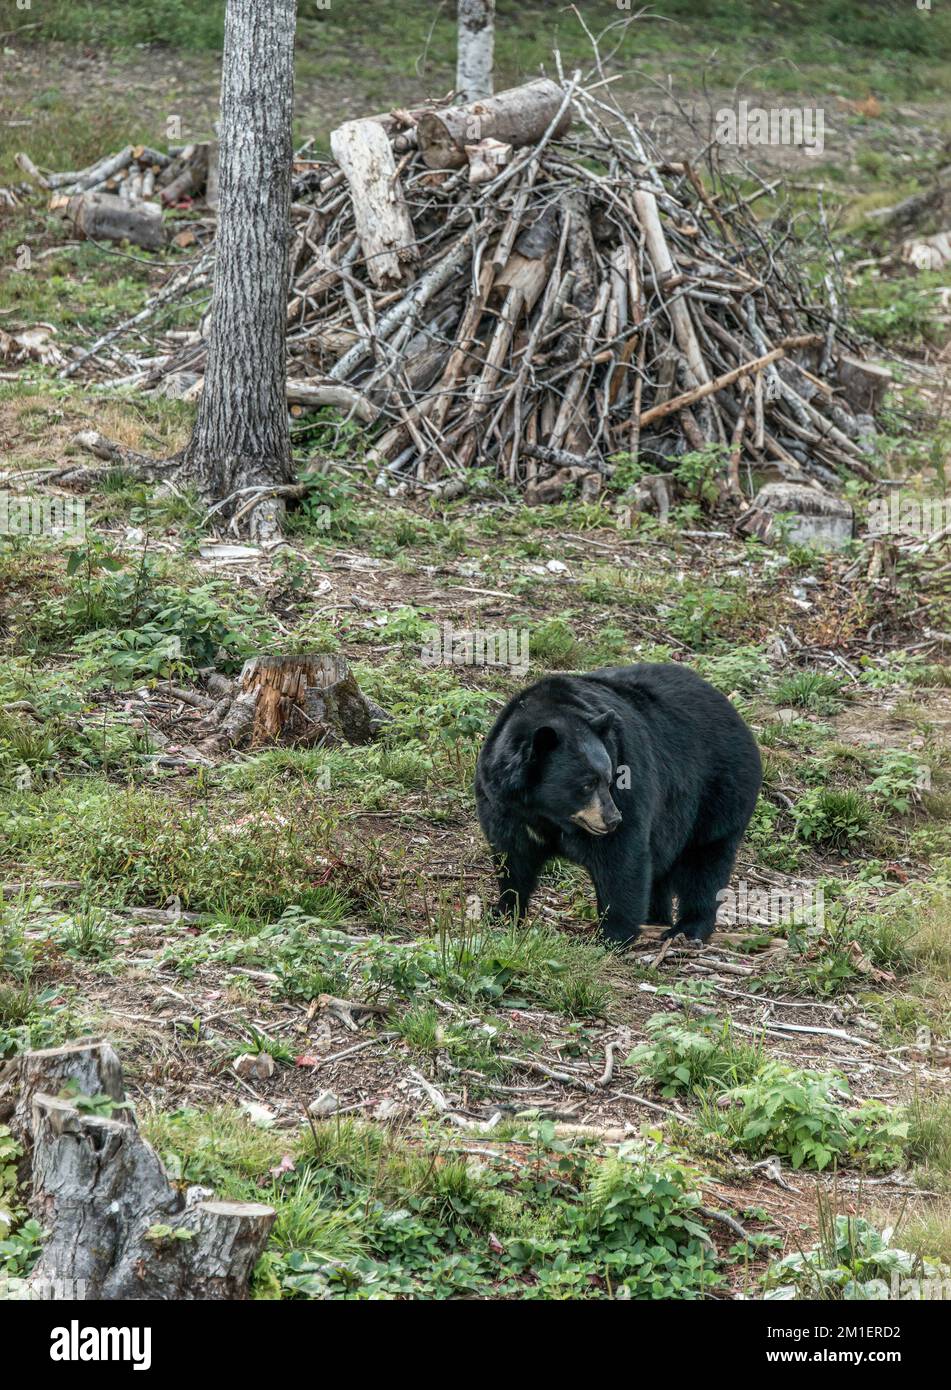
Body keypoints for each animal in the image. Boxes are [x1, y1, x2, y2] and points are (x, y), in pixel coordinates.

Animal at [475, 662, 762, 945]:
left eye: (609, 777)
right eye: (587, 784)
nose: (613, 819)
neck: (547, 814)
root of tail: (734, 713)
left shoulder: (628, 775)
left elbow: (621, 858)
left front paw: (613, 935)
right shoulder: (504, 806)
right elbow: (513, 858)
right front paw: (504, 912)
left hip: (717, 796)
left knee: (704, 863)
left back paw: (688, 928)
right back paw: (655, 918)